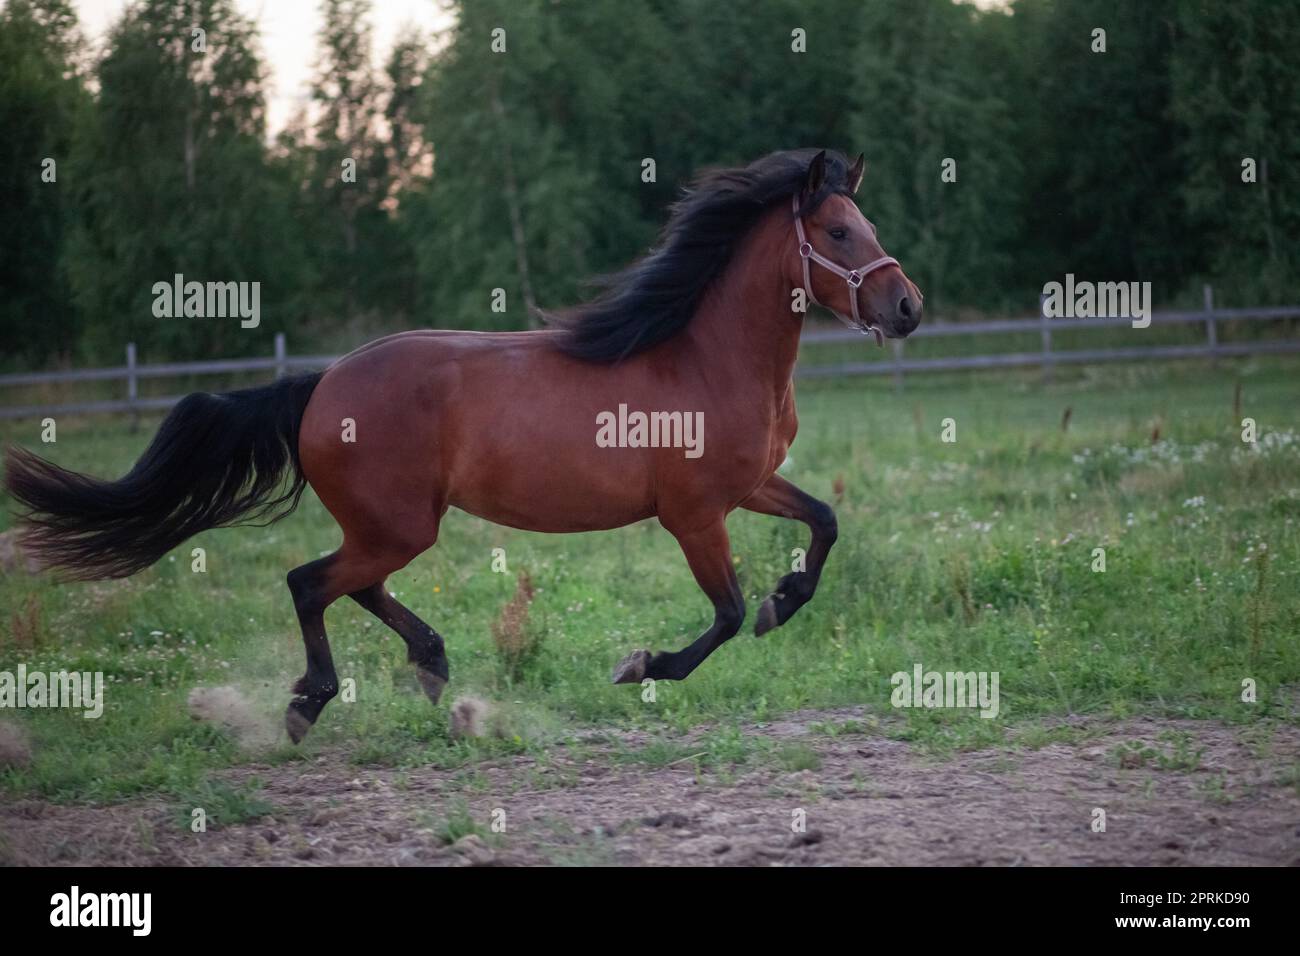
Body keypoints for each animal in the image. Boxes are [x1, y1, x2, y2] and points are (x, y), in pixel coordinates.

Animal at [5, 148, 922, 742]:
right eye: (838, 233)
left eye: (865, 222)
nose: (908, 307)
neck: (706, 358)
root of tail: (321, 383)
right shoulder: (694, 513)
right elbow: (726, 615)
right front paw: (642, 665)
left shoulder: (750, 485)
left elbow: (824, 524)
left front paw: (784, 600)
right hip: (400, 524)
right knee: (312, 583)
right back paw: (312, 702)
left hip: (392, 524)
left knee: (350, 586)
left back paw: (431, 665)